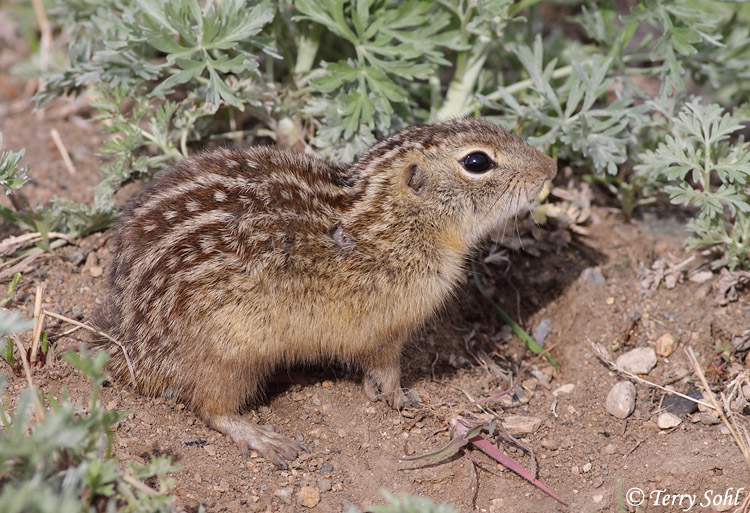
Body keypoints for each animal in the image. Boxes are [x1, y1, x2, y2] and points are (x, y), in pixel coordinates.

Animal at [96, 118, 557, 467]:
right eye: (477, 161)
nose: (551, 167)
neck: (395, 223)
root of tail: (128, 350)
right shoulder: (385, 330)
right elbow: (387, 369)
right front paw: (402, 398)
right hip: (229, 356)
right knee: (211, 409)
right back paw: (266, 439)